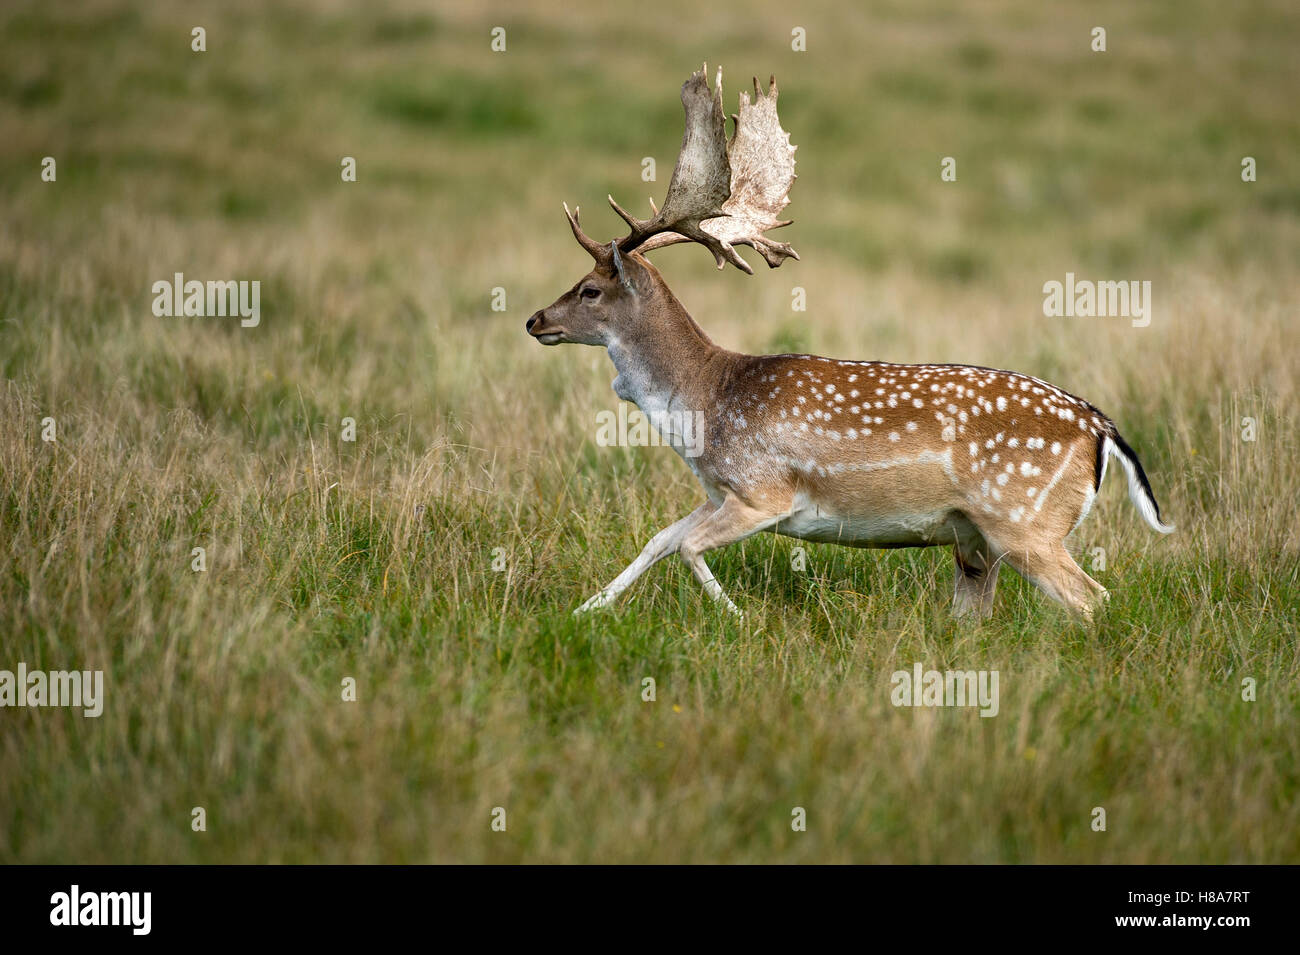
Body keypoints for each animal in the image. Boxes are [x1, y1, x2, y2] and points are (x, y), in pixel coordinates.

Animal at [525, 65, 1173, 620]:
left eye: (589, 289)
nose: (534, 320)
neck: (705, 403)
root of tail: (1102, 428)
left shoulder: (763, 491)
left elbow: (686, 549)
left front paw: (738, 618)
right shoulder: (717, 491)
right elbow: (659, 539)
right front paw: (584, 611)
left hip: (1023, 520)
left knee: (1092, 598)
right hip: (976, 541)